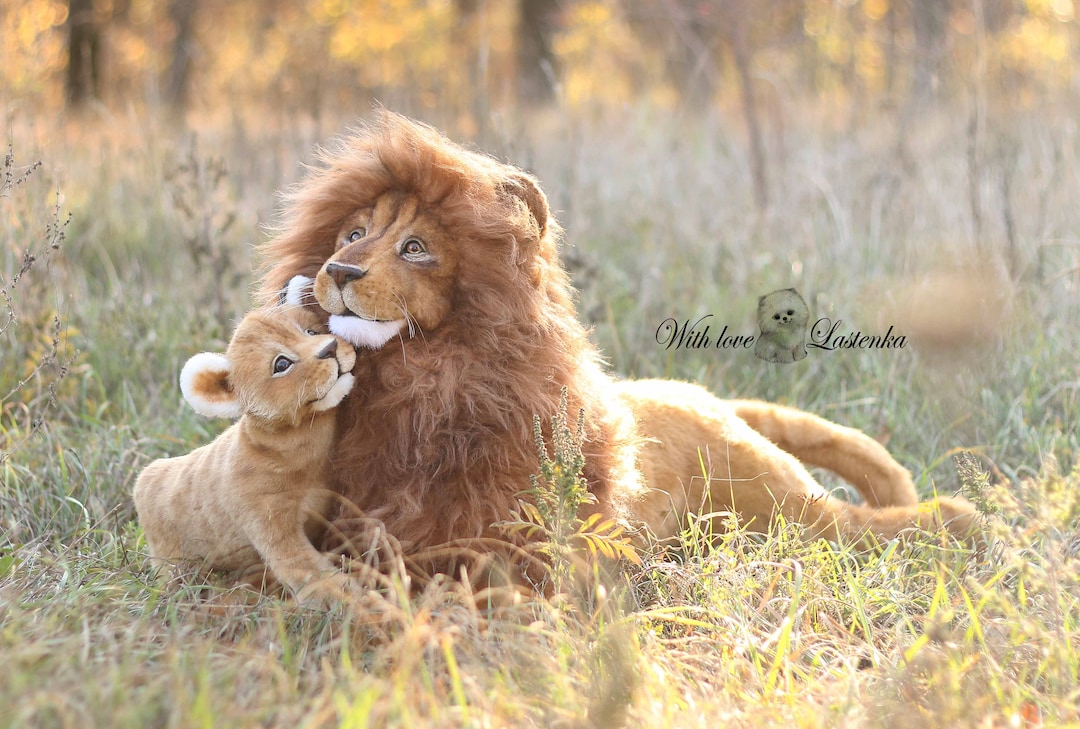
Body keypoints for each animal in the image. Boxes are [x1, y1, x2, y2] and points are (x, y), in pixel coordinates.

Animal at [133, 280, 359, 601]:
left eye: (310, 332)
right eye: (281, 364)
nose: (330, 348)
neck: (307, 442)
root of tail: (144, 477)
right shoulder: (270, 524)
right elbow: (309, 572)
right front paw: (358, 597)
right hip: (174, 565)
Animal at [258, 112, 975, 579]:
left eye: (415, 247)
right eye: (353, 233)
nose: (338, 270)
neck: (420, 383)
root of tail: (704, 396)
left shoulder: (526, 543)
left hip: (786, 509)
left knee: (870, 526)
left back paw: (965, 523)